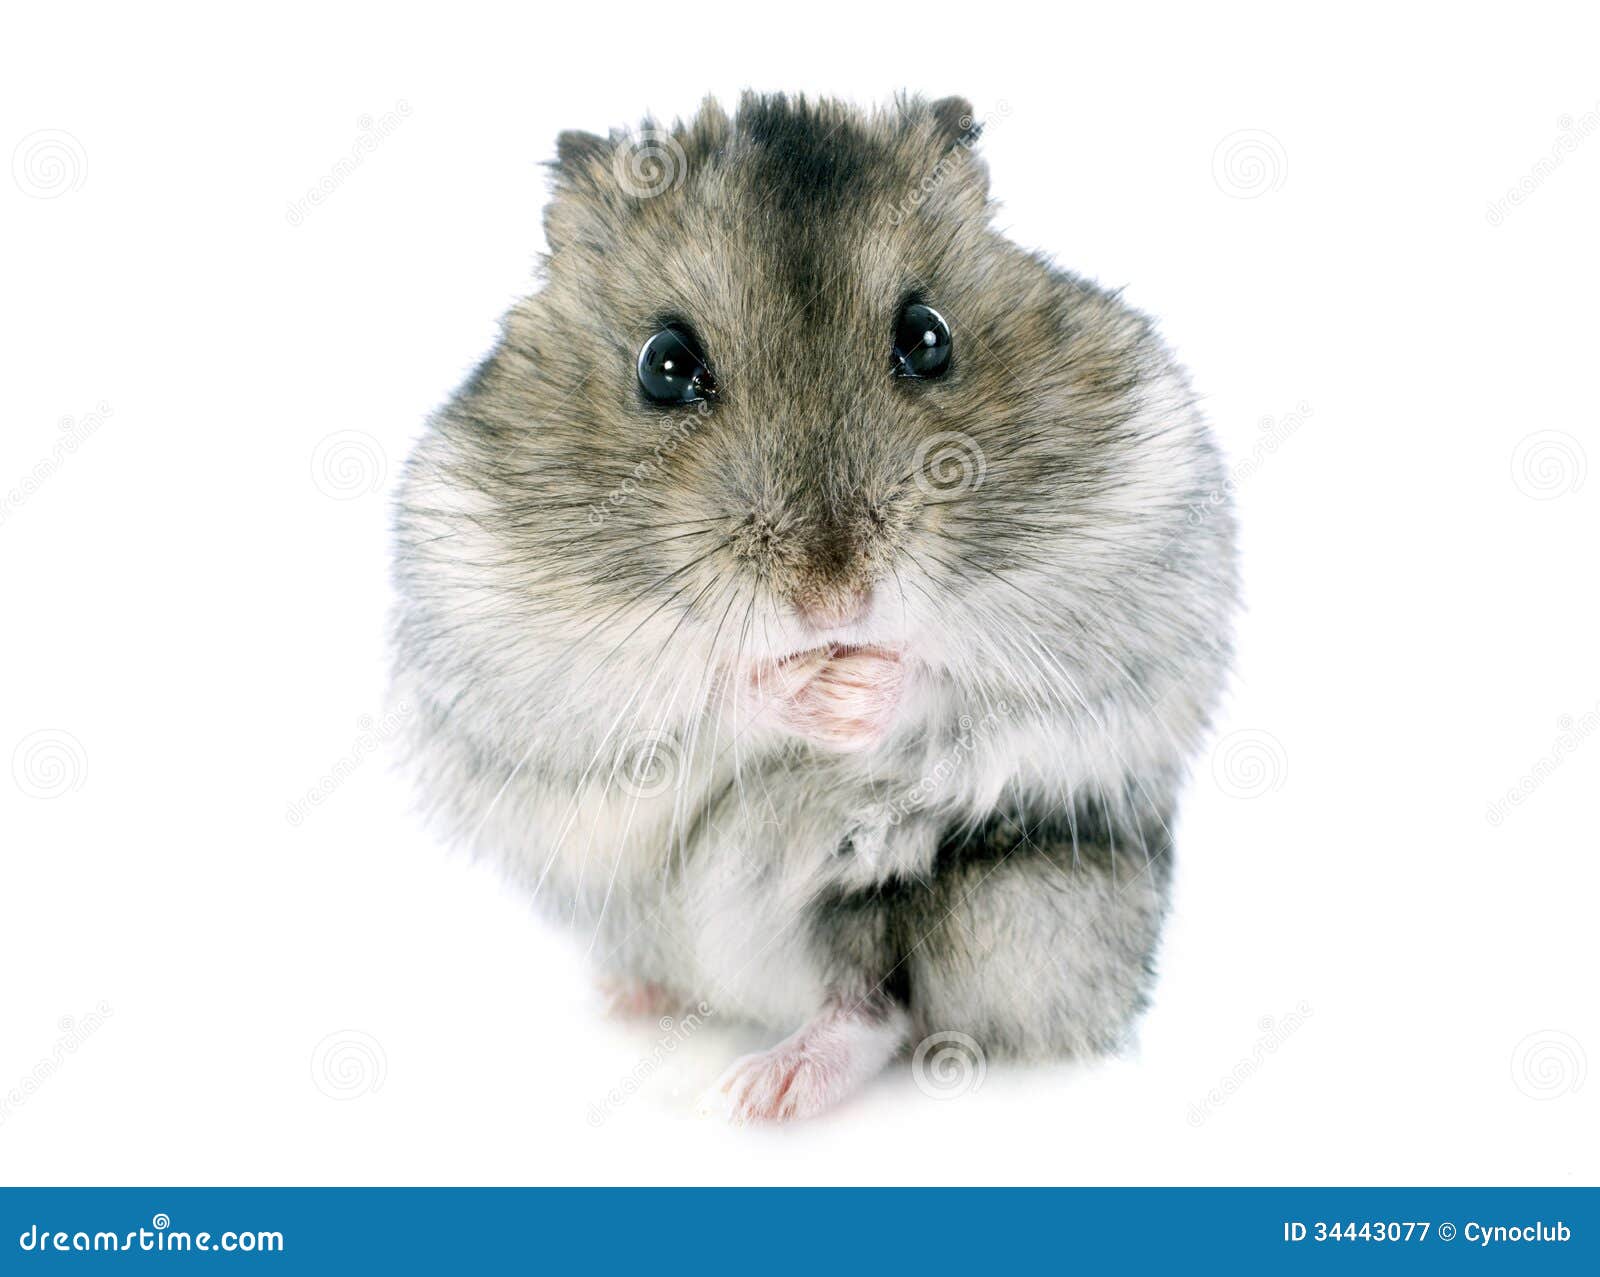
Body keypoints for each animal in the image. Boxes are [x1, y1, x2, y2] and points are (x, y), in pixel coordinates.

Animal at [390, 93, 1237, 1122]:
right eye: (663, 365)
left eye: (928, 336)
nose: (836, 600)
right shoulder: (523, 653)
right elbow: (697, 694)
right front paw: (805, 689)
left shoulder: (1132, 565)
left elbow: (955, 679)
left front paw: (860, 688)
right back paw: (637, 1002)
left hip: (994, 908)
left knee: (876, 1001)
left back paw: (767, 1087)